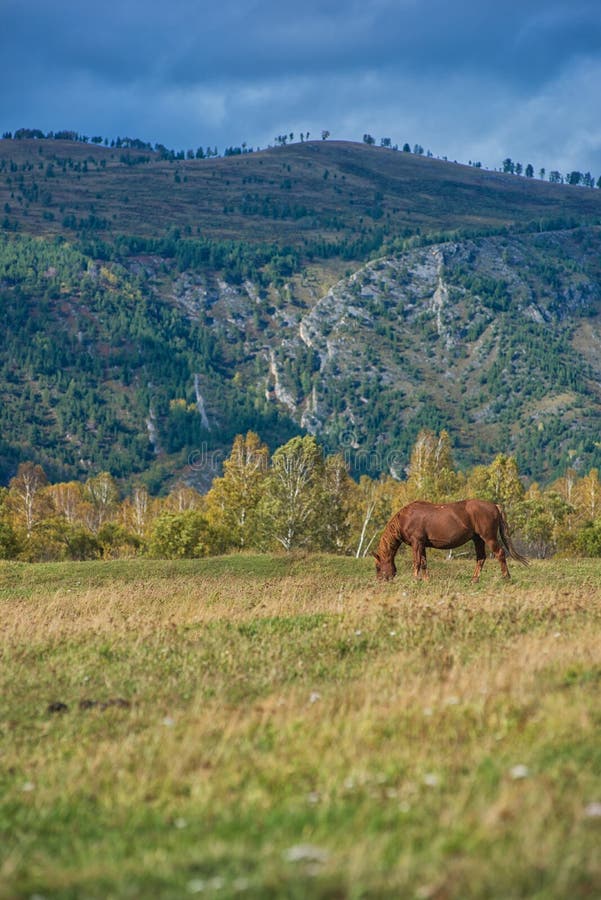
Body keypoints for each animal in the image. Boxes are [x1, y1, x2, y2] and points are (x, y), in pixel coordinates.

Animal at [373, 499, 528, 582]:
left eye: (377, 567)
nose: (380, 580)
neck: (405, 518)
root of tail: (495, 506)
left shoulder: (416, 543)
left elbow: (416, 562)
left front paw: (415, 579)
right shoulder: (422, 545)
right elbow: (423, 562)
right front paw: (426, 580)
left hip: (489, 538)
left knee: (500, 553)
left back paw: (506, 577)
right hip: (478, 539)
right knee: (481, 558)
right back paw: (474, 579)